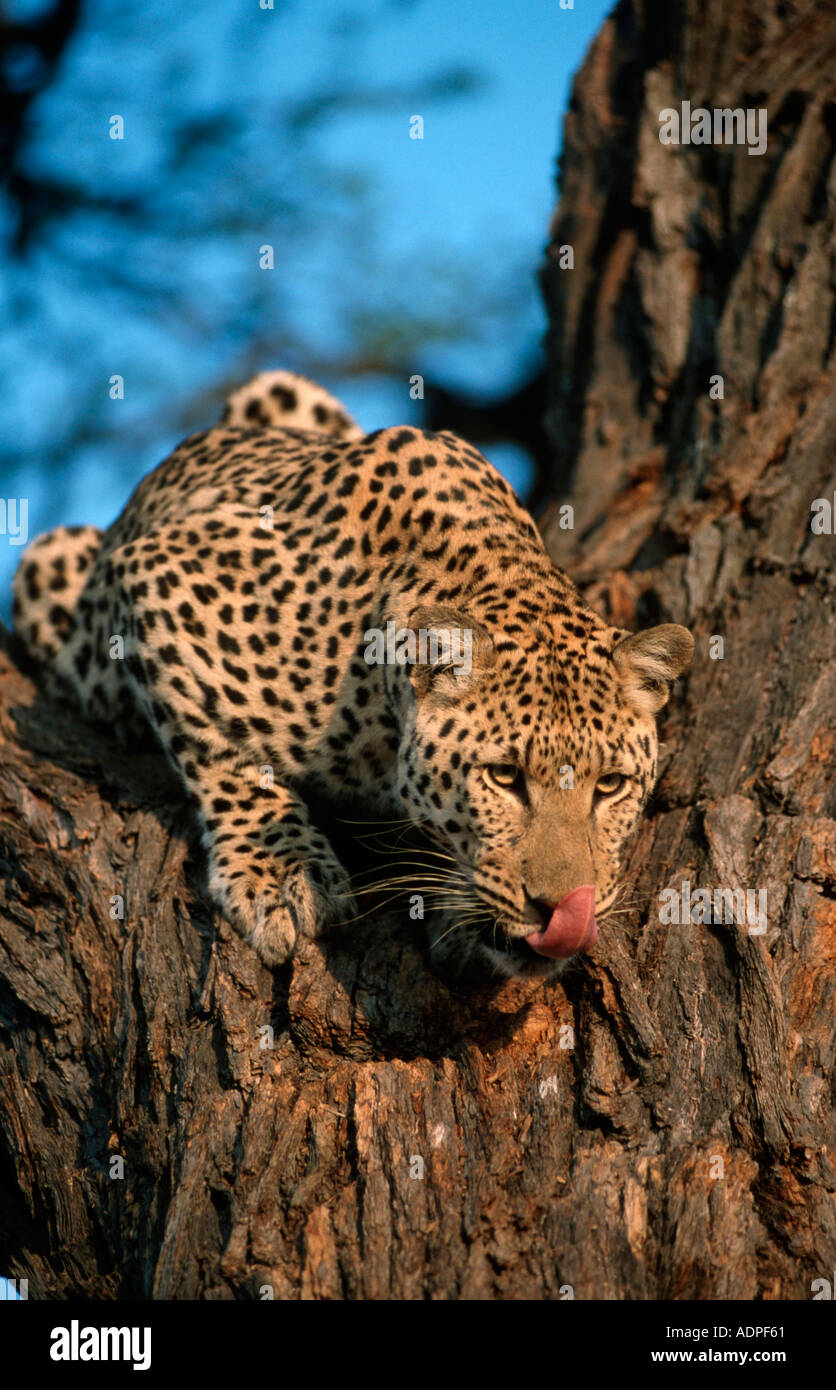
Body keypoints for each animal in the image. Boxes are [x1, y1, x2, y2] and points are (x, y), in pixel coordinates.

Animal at [12, 369, 693, 981]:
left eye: (611, 786)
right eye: (504, 778)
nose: (561, 911)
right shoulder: (163, 579)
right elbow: (226, 754)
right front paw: (282, 872)